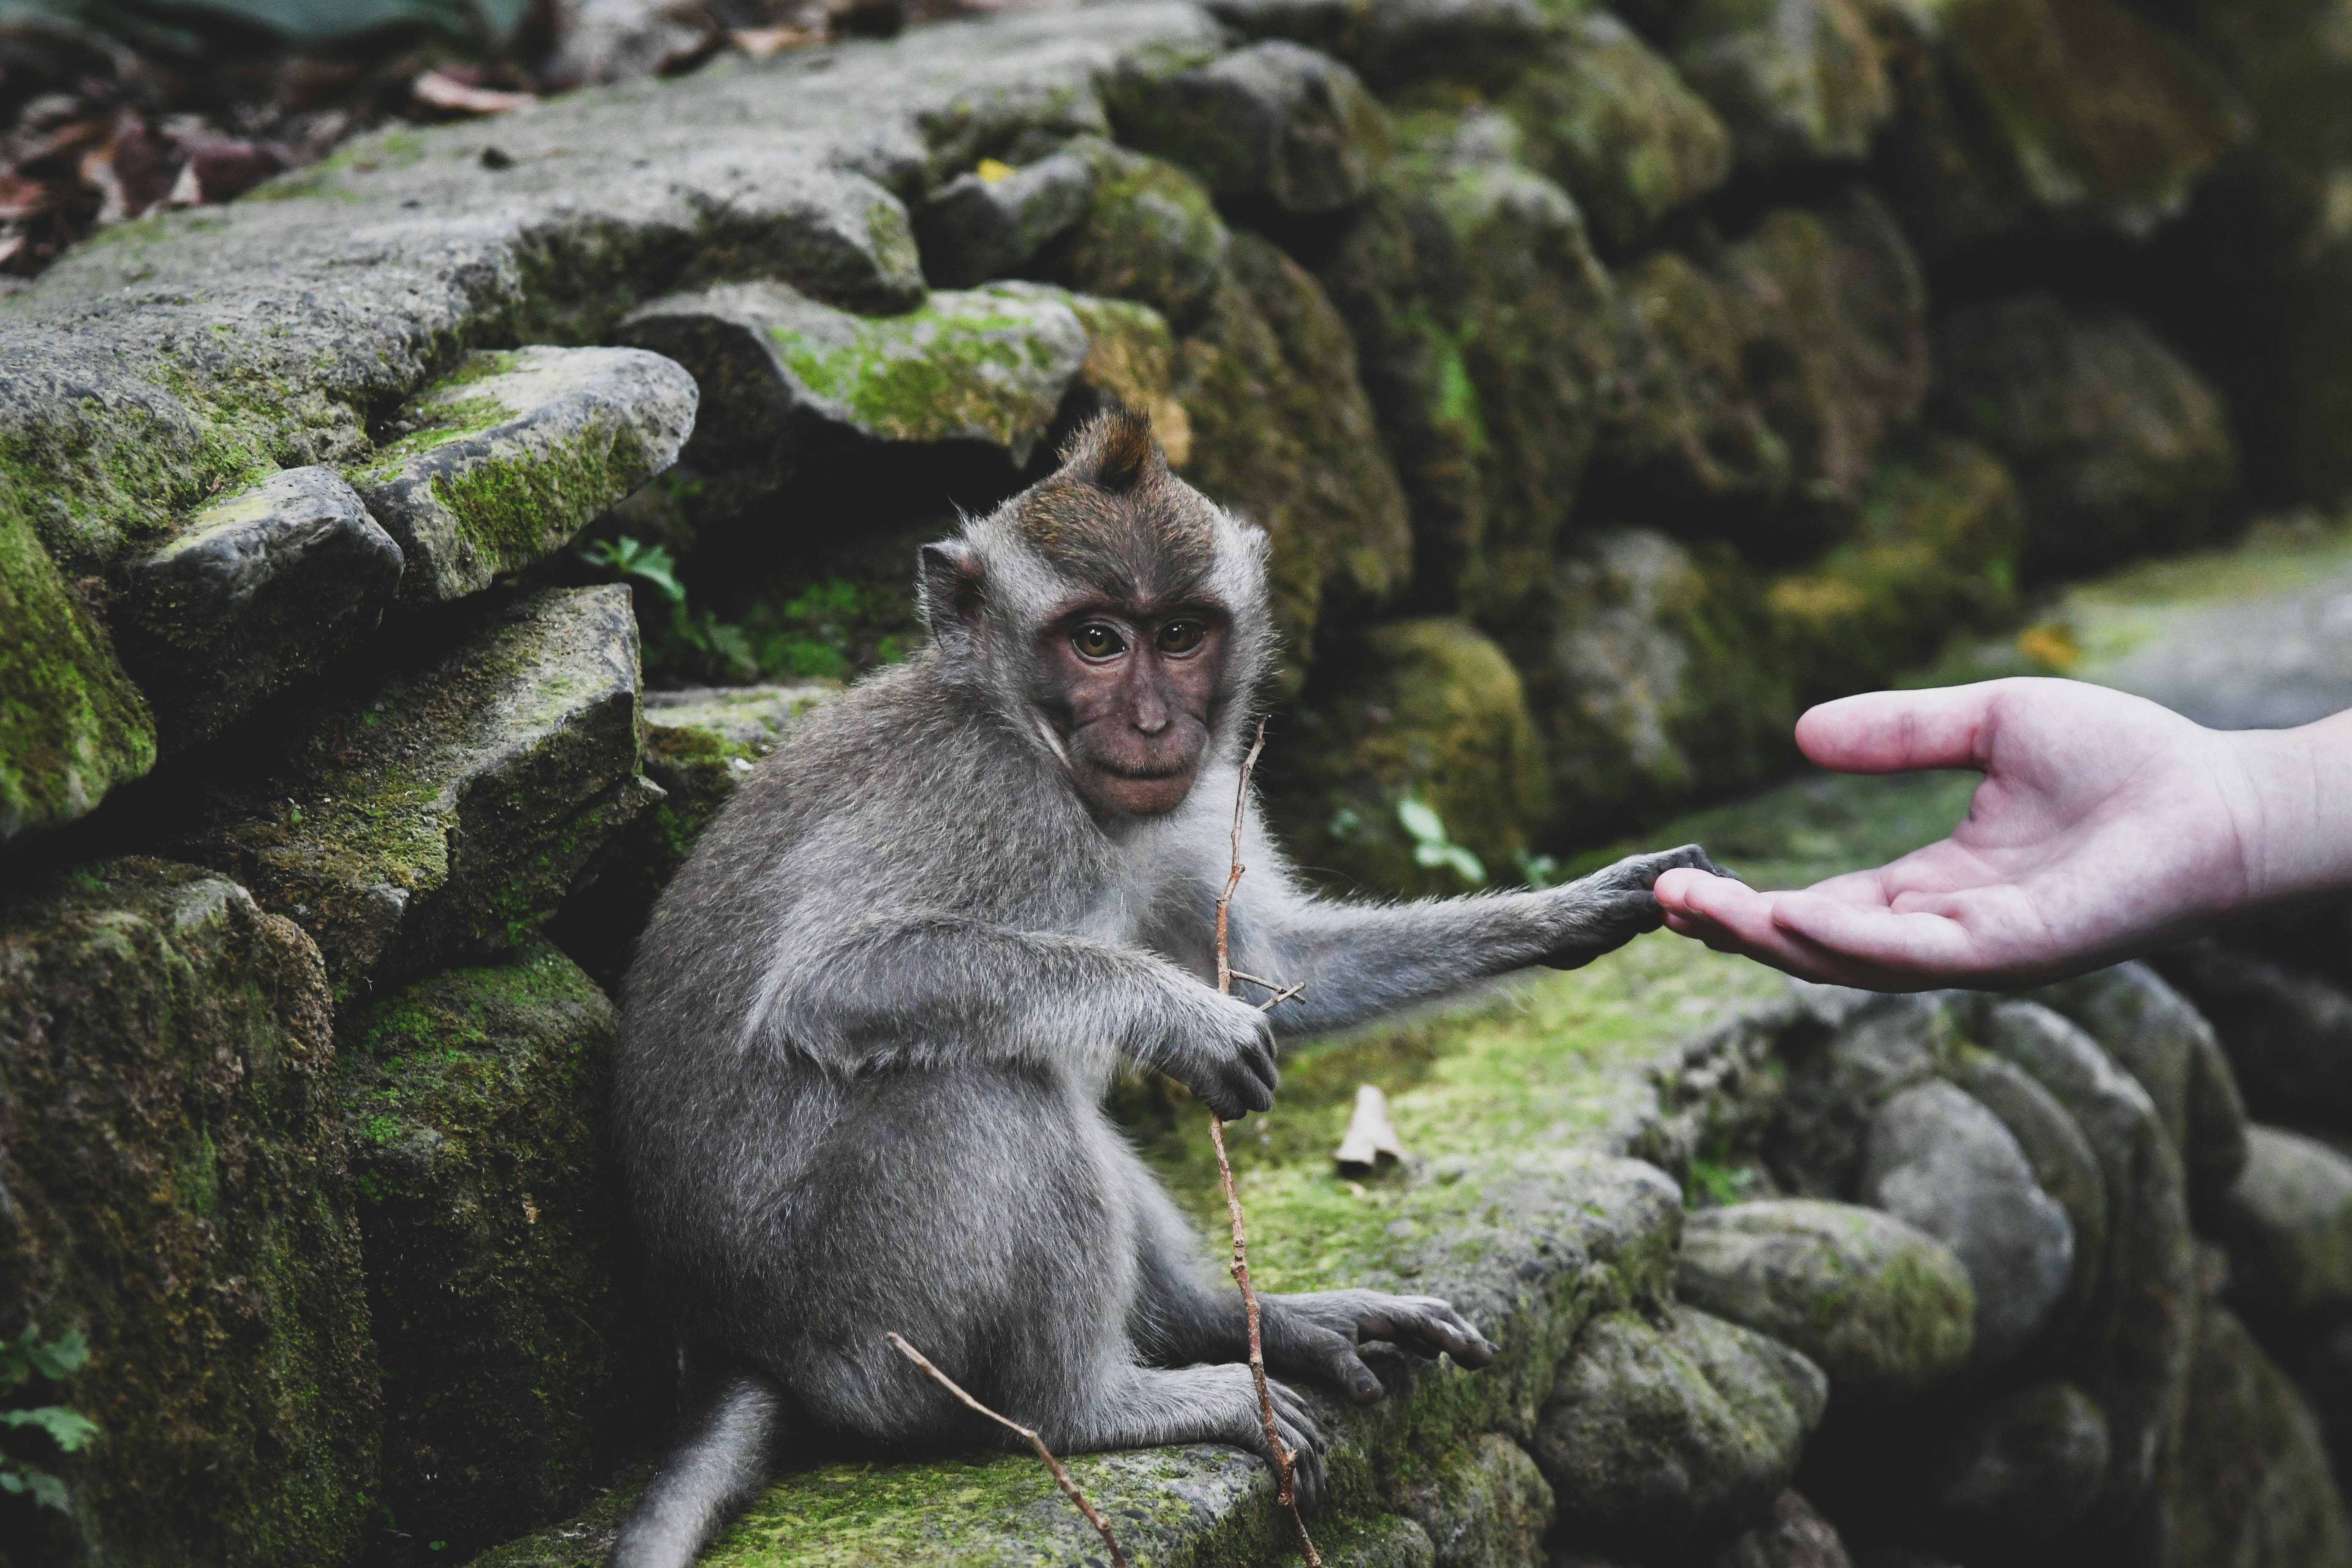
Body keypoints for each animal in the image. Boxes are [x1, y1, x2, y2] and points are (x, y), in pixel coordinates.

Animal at [606, 409, 1728, 1566]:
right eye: (1097, 641)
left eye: (1181, 634)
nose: (1152, 724)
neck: (1038, 746)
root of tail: (744, 1346)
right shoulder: (988, 803)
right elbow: (830, 980)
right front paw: (1182, 1016)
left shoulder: (1187, 802)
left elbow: (1286, 965)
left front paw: (1581, 909)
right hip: (853, 1316)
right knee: (977, 1081)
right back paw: (1089, 1406)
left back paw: (1236, 1322)